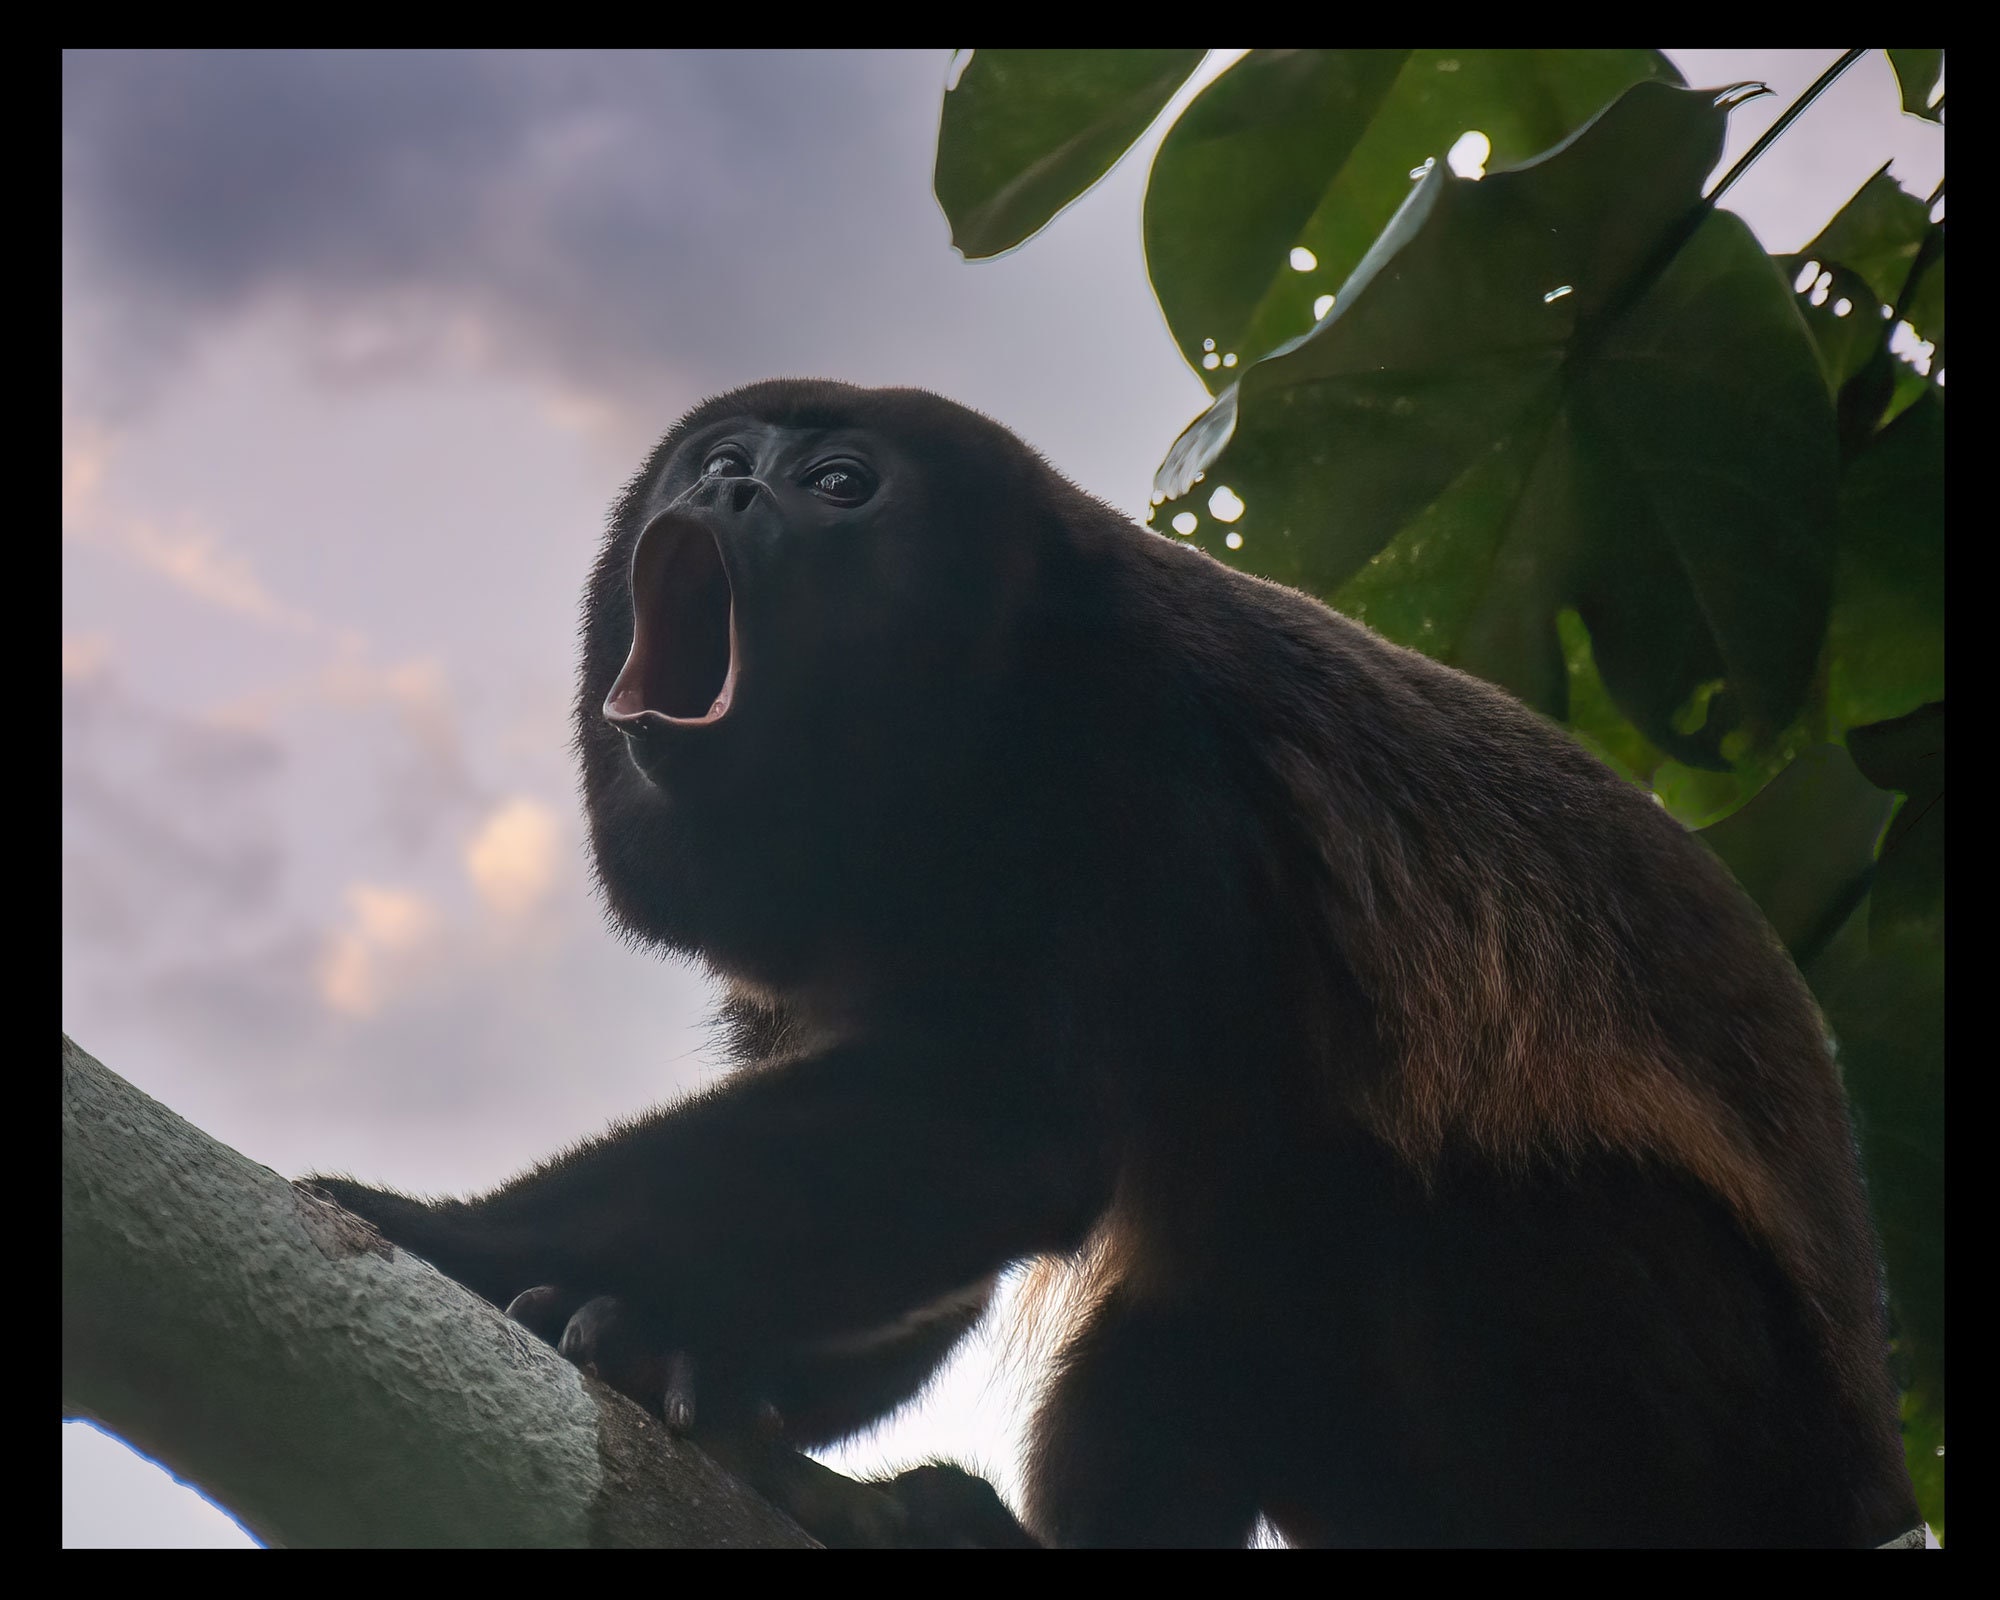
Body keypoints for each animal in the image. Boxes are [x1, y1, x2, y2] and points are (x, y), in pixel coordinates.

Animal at [311, 378, 1918, 1547]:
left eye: (837, 484)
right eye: (718, 455)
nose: (724, 490)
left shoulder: (1130, 759)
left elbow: (1003, 1130)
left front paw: (449, 1231)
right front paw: (676, 1353)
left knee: (1410, 1210)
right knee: (1192, 1320)